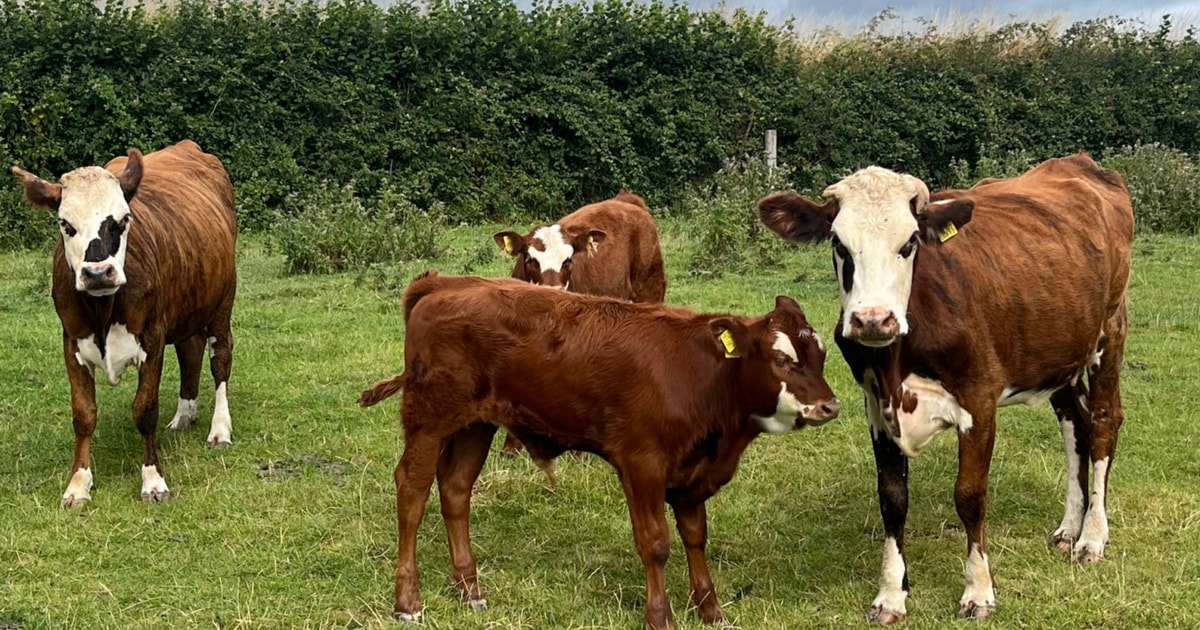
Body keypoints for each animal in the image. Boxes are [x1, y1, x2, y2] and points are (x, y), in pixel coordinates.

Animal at [11, 140, 238, 506]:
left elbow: (144, 410)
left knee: (220, 360)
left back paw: (219, 429)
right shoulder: (71, 343)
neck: (103, 307)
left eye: (124, 219)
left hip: (222, 302)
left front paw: (154, 480)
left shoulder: (152, 339)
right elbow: (83, 414)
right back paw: (183, 416)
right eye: (65, 224)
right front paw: (78, 484)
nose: (97, 272)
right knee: (190, 351)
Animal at [358, 272, 840, 630]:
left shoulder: (693, 473)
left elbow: (695, 537)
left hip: (474, 424)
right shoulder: (641, 463)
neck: (703, 379)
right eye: (781, 360)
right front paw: (660, 617)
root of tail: (445, 282)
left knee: (456, 490)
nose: (829, 406)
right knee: (412, 492)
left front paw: (711, 609)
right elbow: (656, 543)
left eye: (821, 356)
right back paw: (408, 601)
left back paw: (470, 591)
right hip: (429, 419)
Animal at [757, 153, 1133, 624]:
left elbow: (970, 496)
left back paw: (1092, 537)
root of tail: (1080, 163)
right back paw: (1069, 527)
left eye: (910, 242)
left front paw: (979, 591)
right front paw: (891, 594)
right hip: (1055, 352)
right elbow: (892, 498)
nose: (873, 319)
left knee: (1102, 423)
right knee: (1074, 427)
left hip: (1109, 331)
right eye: (839, 244)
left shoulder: (979, 401)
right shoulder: (876, 405)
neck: (899, 357)